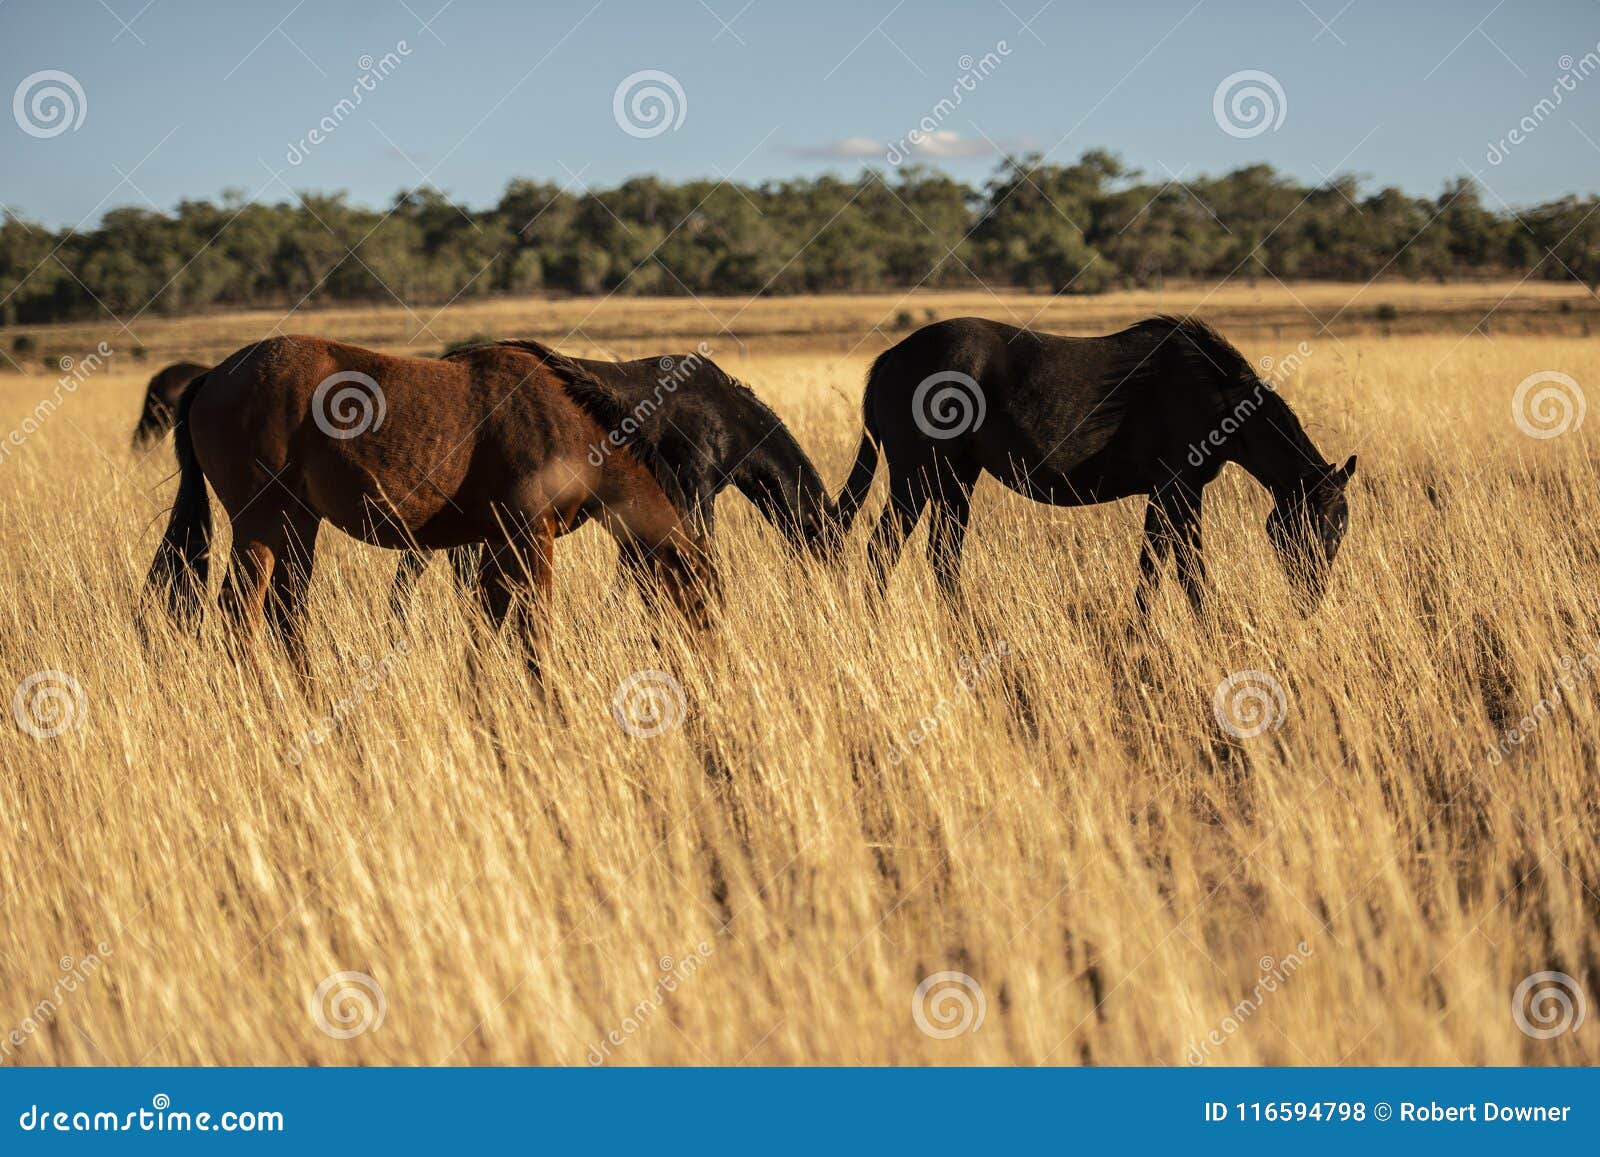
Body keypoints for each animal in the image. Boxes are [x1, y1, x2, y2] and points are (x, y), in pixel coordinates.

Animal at [143, 336, 716, 677]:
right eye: (701, 601)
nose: (710, 666)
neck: (570, 424)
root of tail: (213, 376)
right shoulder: (531, 537)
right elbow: (533, 633)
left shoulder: (497, 544)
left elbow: (487, 628)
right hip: (260, 525)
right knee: (240, 612)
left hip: (297, 525)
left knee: (287, 613)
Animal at [836, 315, 1354, 615]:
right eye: (1313, 526)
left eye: (1340, 530)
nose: (1311, 603)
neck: (1215, 395)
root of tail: (891, 356)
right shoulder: (1179, 489)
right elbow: (1184, 570)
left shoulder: (1168, 493)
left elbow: (1155, 566)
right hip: (915, 475)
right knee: (882, 550)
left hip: (956, 477)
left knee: (943, 558)